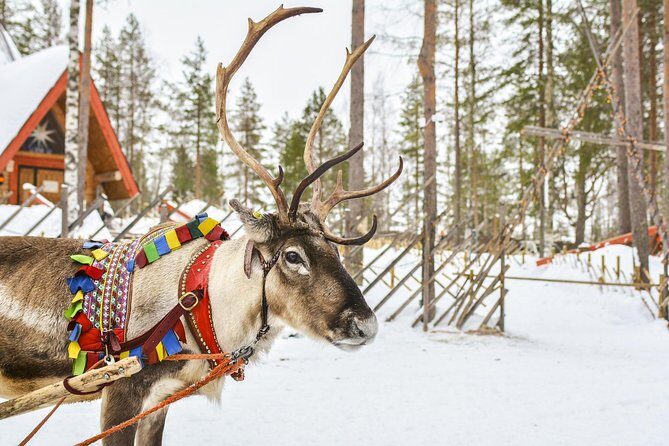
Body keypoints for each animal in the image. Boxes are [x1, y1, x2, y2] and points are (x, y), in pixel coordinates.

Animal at [0, 5, 402, 445]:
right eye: (293, 256)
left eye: (334, 250)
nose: (366, 325)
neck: (203, 303)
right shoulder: (120, 391)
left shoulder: (161, 399)